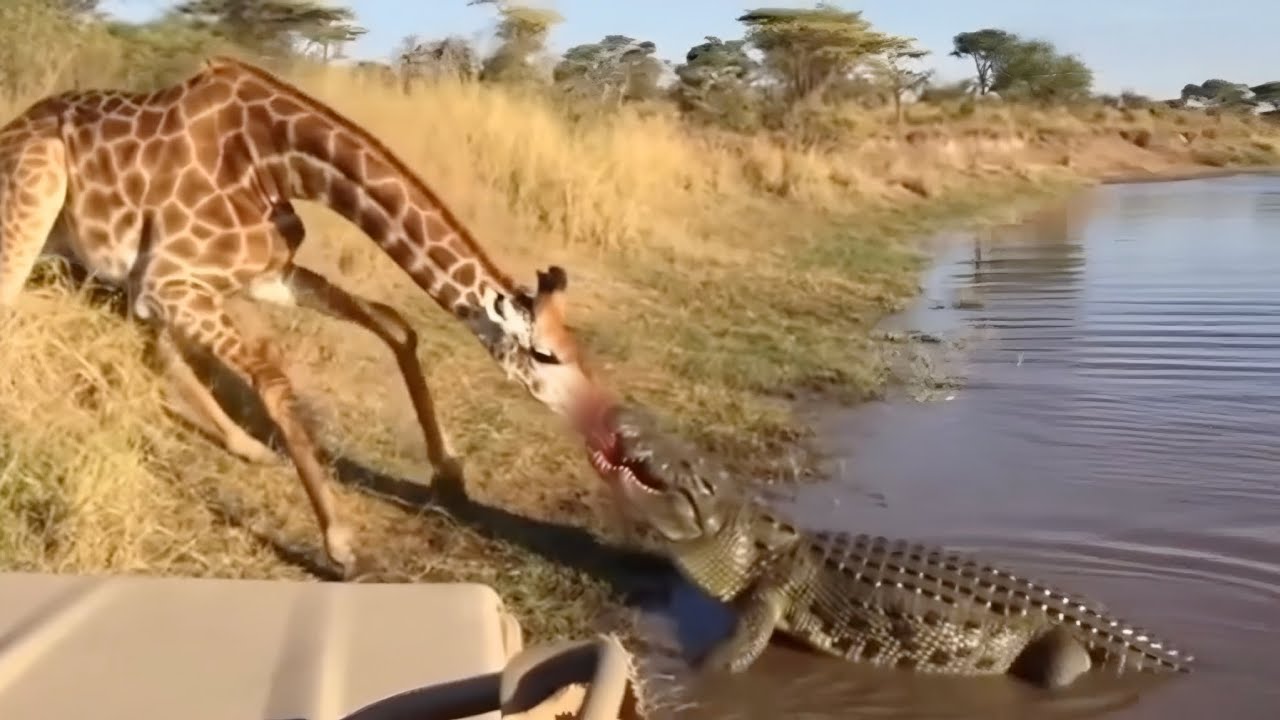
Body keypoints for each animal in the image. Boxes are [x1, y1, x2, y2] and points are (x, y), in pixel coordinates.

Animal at [0, 55, 614, 578]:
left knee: (156, 347)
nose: (607, 429)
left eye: (579, 348)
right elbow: (272, 380)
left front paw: (450, 476)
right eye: (545, 355)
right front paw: (339, 545)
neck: (275, 162)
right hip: (38, 204)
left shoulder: (254, 275)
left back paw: (246, 447)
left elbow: (394, 325)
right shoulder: (168, 281)